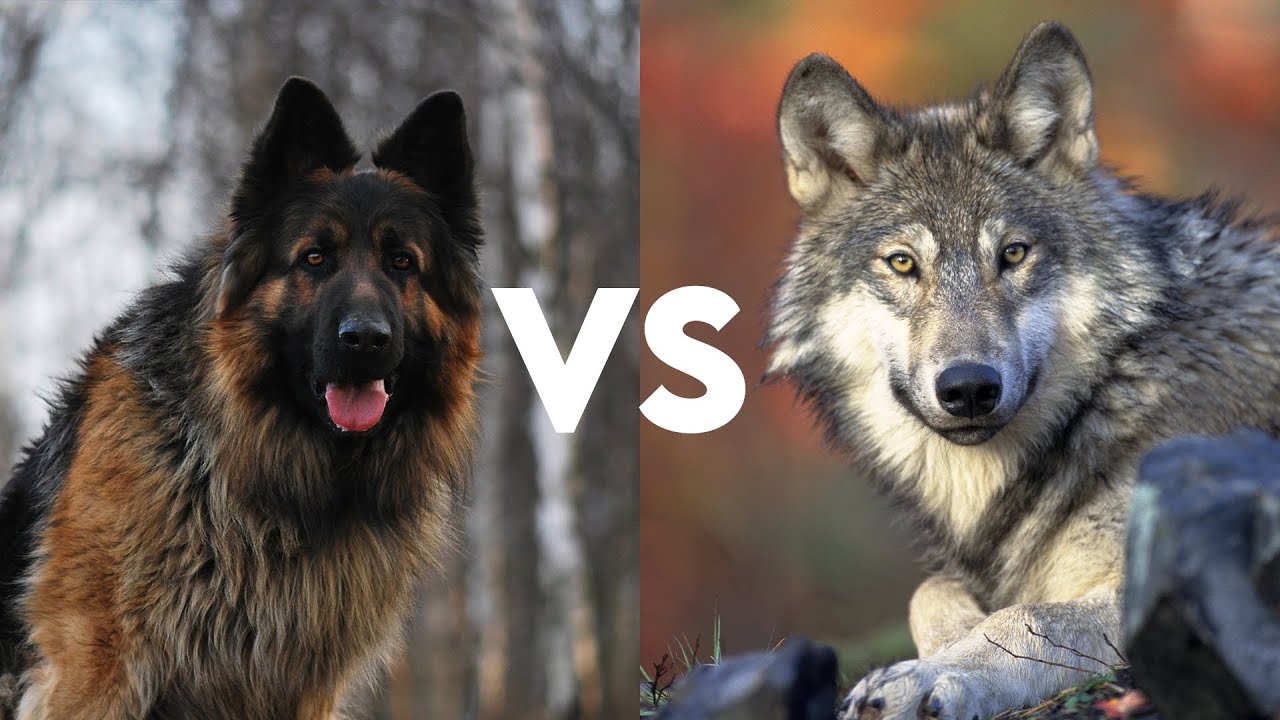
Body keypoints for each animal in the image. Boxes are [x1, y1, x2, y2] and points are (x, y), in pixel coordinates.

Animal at [766, 21, 1280, 720]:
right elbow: (930, 590)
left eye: (1013, 254)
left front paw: (929, 675)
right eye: (902, 263)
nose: (968, 388)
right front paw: (948, 644)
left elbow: (1027, 618)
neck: (1112, 390)